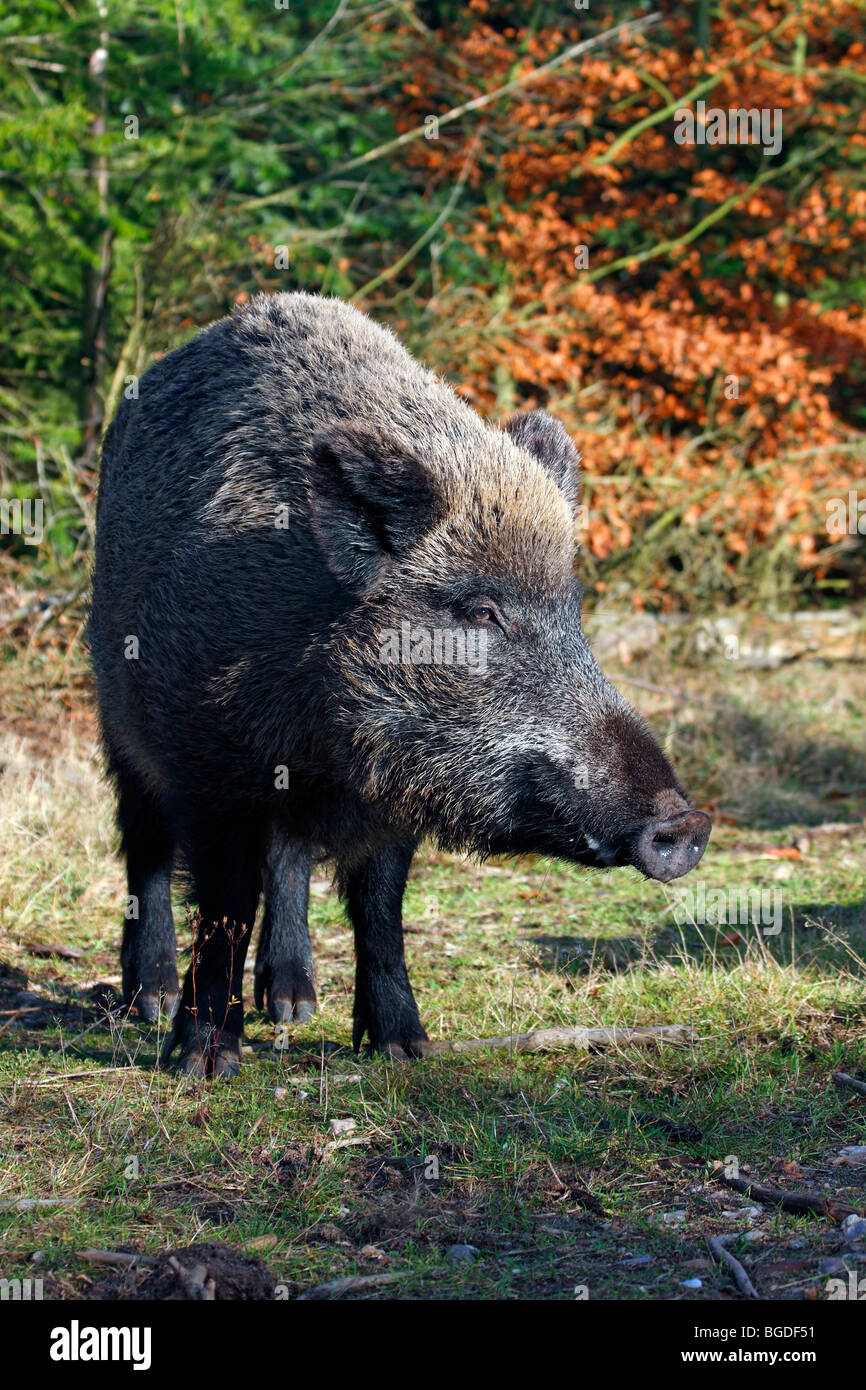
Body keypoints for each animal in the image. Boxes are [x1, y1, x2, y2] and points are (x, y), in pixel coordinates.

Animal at [89, 292, 710, 1077]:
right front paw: (203, 1064)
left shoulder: (395, 786)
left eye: (571, 608)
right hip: (116, 708)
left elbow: (381, 904)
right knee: (145, 844)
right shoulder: (211, 760)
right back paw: (152, 1002)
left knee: (287, 858)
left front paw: (405, 1049)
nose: (687, 823)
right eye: (480, 610)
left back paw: (292, 1005)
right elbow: (225, 899)